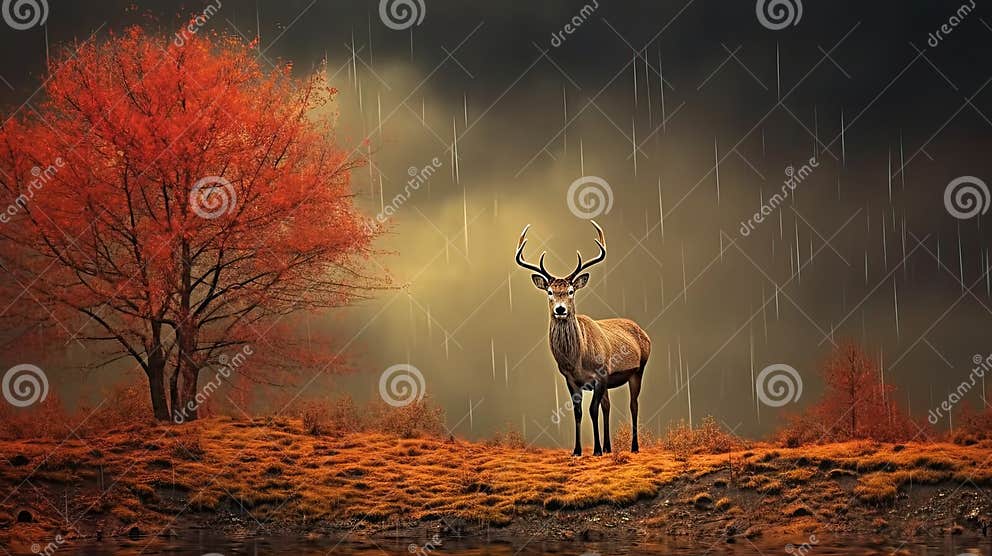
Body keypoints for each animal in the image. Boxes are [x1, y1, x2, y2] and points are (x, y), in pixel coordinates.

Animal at [515, 221, 651, 456]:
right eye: (549, 291)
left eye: (571, 291)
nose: (560, 309)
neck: (577, 360)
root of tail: (644, 333)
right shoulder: (570, 379)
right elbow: (578, 412)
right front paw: (577, 450)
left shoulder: (600, 374)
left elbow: (591, 410)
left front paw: (595, 450)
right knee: (608, 405)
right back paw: (608, 448)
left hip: (637, 370)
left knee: (633, 405)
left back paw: (633, 447)